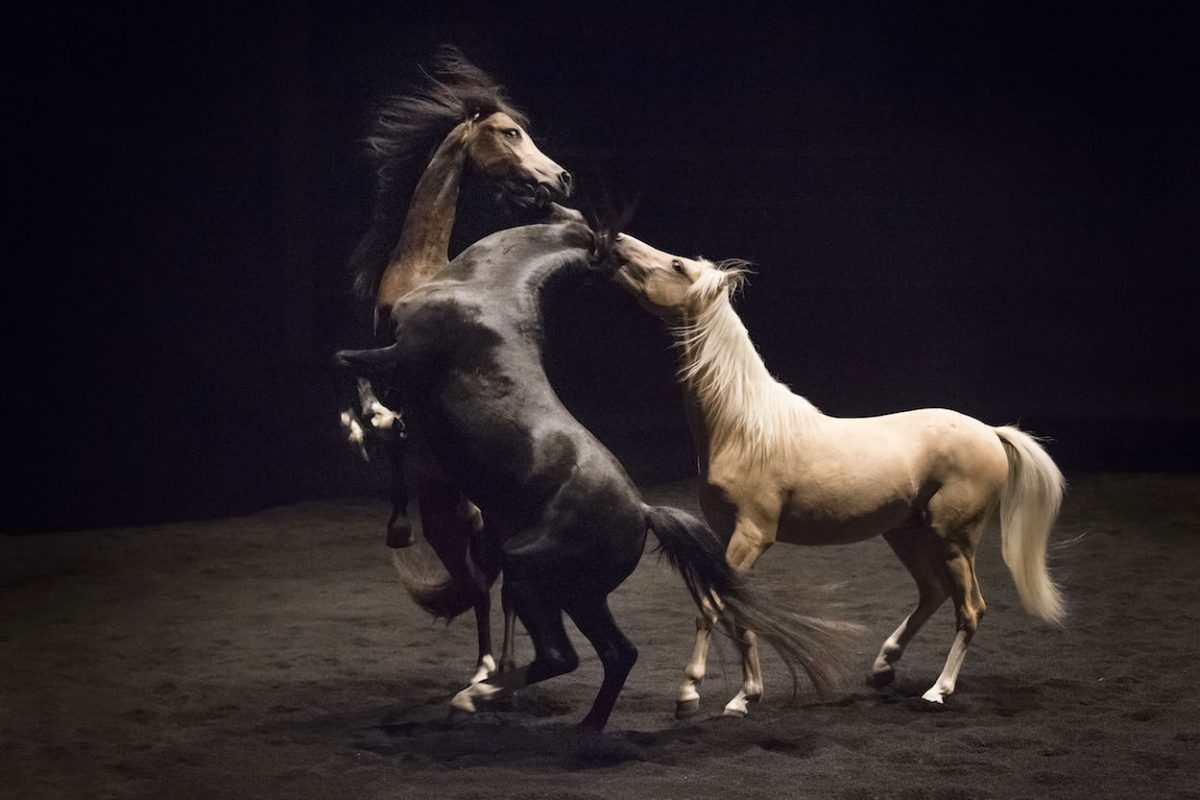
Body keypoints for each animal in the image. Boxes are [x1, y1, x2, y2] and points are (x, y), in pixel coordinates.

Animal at [335, 221, 855, 729]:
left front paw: (368, 431)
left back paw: (475, 699)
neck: (487, 290)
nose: (627, 246)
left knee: (559, 655)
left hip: (530, 576)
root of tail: (644, 511)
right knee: (618, 653)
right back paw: (587, 726)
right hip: (581, 594)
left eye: (674, 264)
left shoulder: (397, 357)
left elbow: (347, 364)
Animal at [340, 47, 577, 686]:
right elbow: (367, 397)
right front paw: (369, 429)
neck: (424, 270)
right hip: (469, 524)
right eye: (510, 132)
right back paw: (500, 667)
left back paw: (492, 668)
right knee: (492, 584)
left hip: (467, 525)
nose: (560, 178)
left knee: (487, 587)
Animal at [608, 232, 1067, 716]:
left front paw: (689, 692)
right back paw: (883, 668)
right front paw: (744, 697)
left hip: (954, 540)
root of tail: (991, 433)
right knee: (932, 593)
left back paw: (937, 690)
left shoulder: (753, 535)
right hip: (906, 533)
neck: (743, 428)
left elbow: (712, 609)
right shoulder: (730, 535)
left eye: (677, 265)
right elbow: (738, 611)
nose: (616, 241)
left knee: (971, 609)